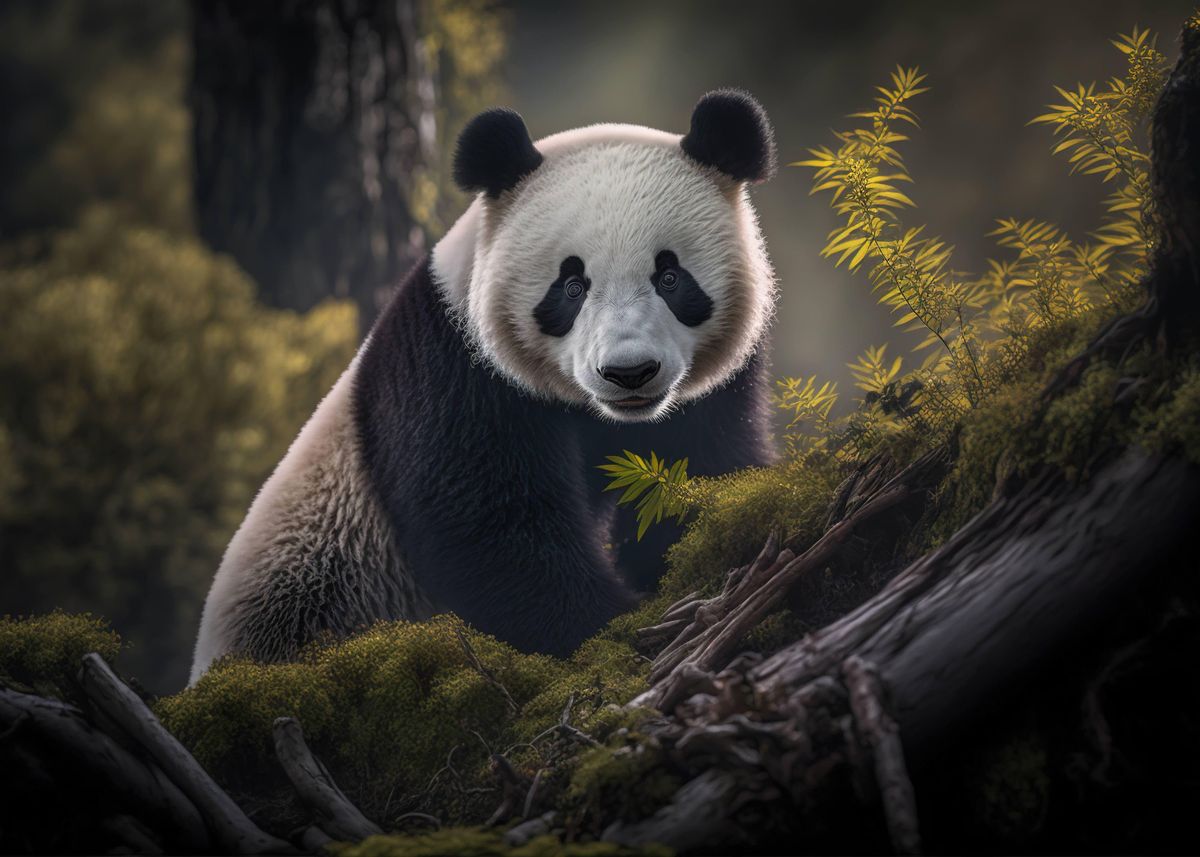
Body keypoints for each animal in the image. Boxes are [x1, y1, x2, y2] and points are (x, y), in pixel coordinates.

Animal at [189, 90, 779, 684]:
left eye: (671, 277)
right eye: (571, 286)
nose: (629, 372)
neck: (605, 416)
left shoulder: (705, 397)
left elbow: (704, 470)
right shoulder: (455, 367)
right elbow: (490, 530)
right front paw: (616, 624)